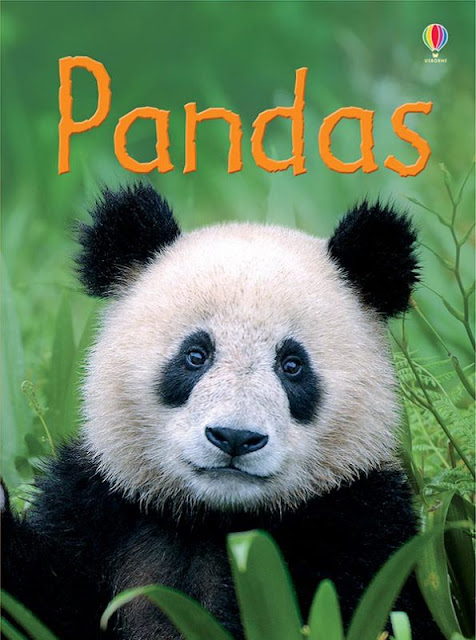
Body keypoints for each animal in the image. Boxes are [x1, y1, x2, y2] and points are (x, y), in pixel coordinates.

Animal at [2, 183, 443, 640]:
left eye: (292, 365)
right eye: (195, 356)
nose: (235, 437)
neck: (213, 519)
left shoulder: (362, 528)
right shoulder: (97, 507)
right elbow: (45, 602)